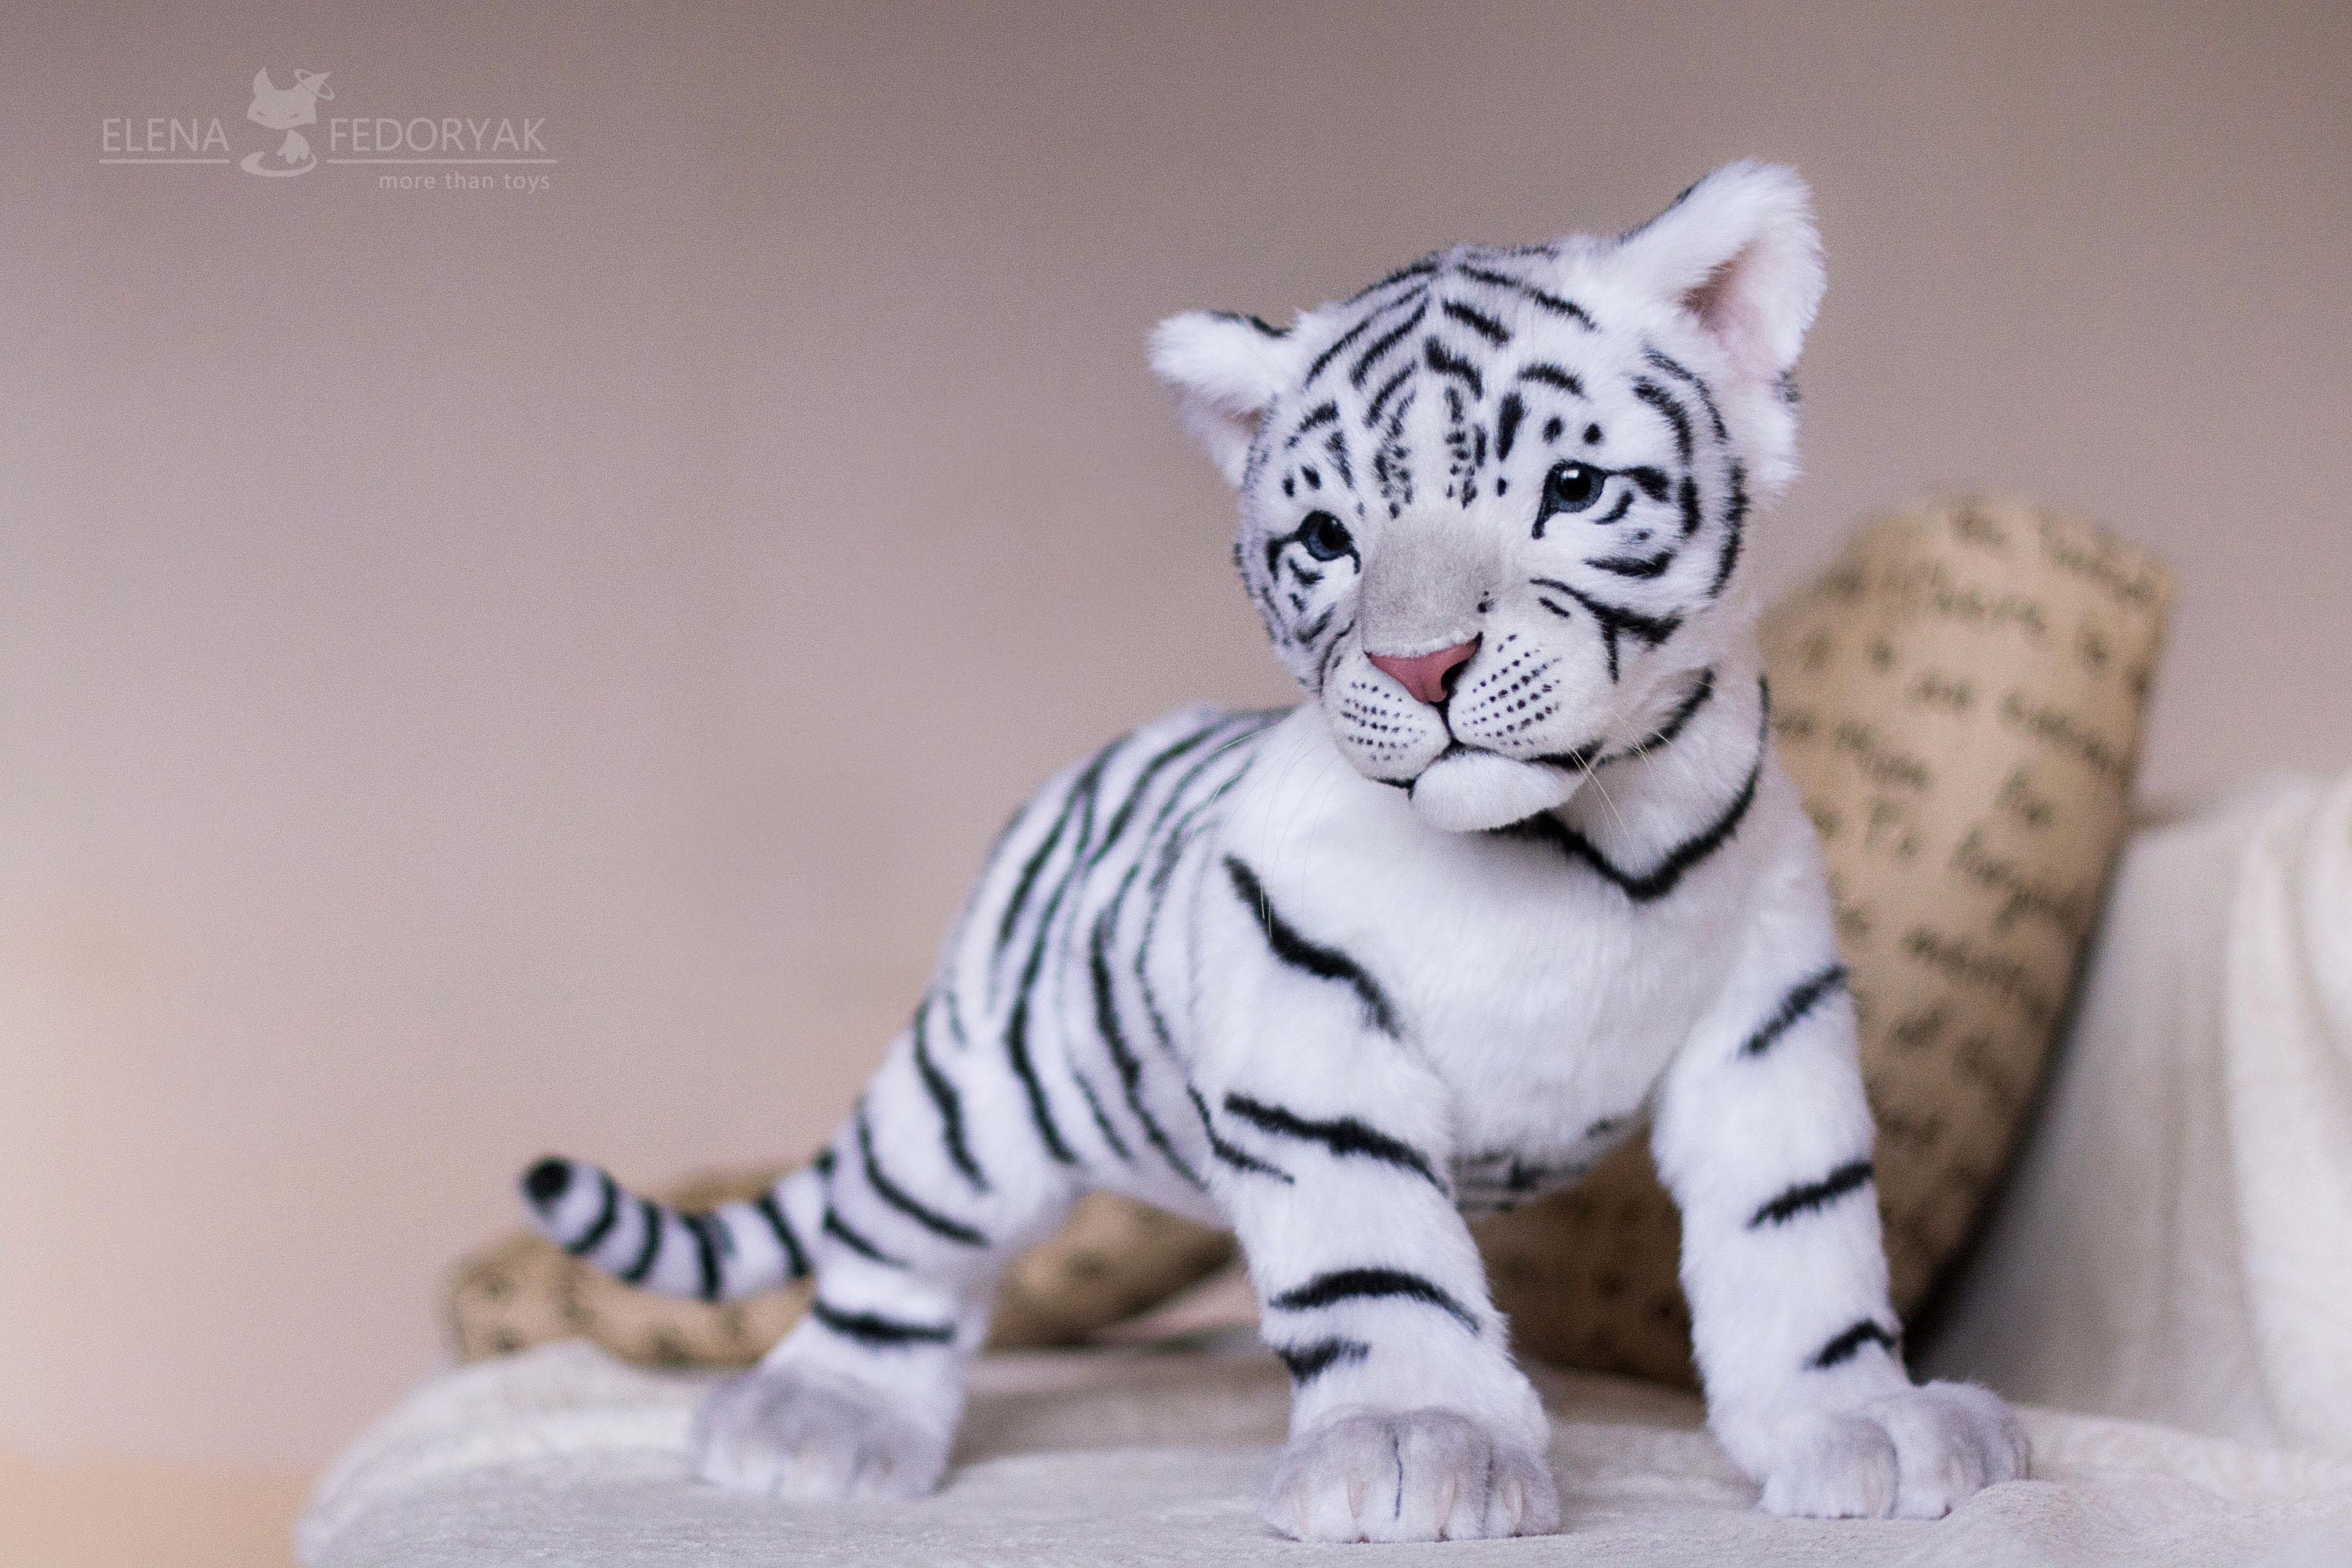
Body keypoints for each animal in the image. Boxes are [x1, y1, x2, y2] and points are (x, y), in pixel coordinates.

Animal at [520, 161, 2024, 1542]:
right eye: (1324, 541)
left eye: (1573, 490)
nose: (1422, 665)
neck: (1580, 840)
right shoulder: (1304, 1014)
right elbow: (1379, 1261)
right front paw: (1421, 1448)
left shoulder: (1771, 1023)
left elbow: (1801, 1242)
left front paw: (1869, 1425)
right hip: (975, 1107)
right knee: (893, 1256)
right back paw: (816, 1421)